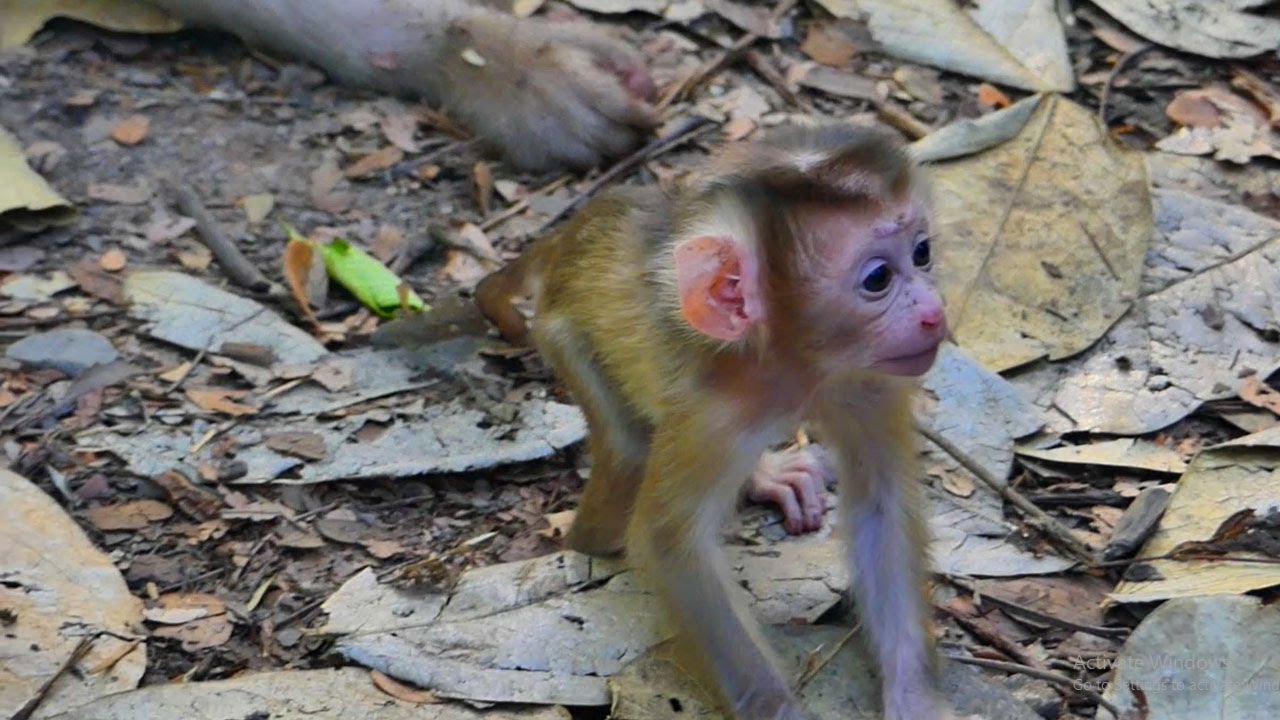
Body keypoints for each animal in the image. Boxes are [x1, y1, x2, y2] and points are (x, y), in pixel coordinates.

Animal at [474, 123, 953, 720]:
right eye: (878, 278)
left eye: (922, 251)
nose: (934, 312)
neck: (790, 365)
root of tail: (574, 233)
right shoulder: (713, 413)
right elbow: (669, 547)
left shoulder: (867, 380)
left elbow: (881, 509)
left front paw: (916, 700)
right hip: (560, 333)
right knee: (629, 459)